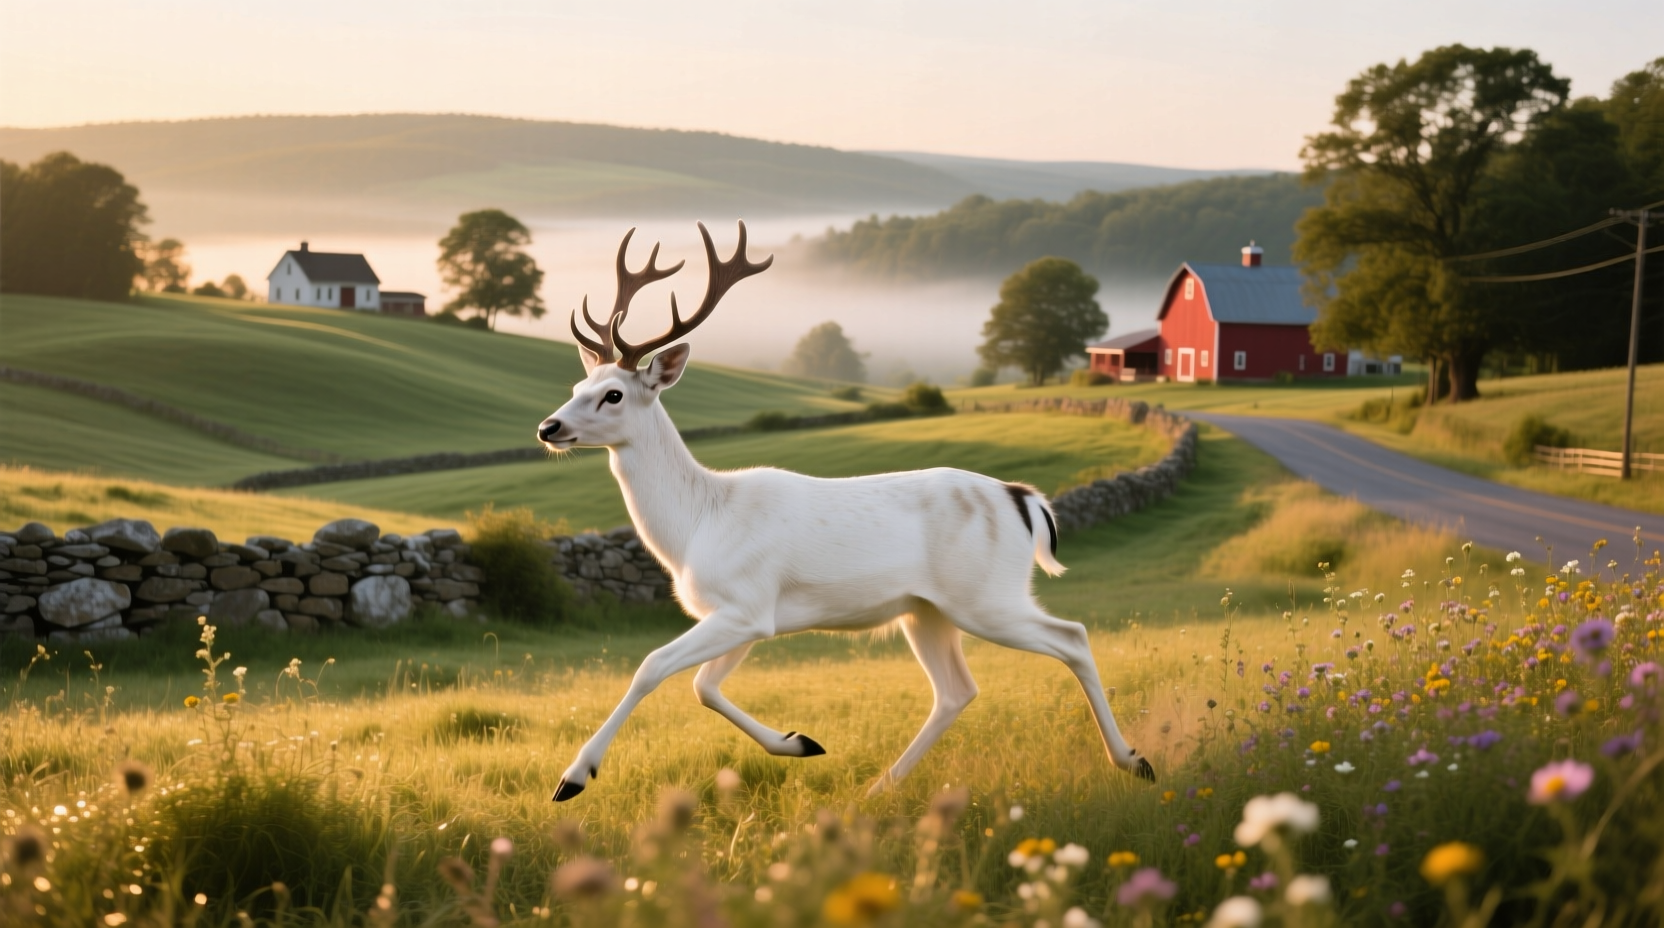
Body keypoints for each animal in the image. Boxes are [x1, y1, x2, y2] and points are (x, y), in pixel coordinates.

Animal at [536, 221, 1156, 802]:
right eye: (578, 383)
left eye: (613, 394)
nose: (548, 427)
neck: (697, 525)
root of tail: (1023, 499)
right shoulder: (746, 615)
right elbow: (704, 688)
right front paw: (800, 742)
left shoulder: (745, 604)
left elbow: (653, 668)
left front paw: (574, 777)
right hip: (927, 611)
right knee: (957, 689)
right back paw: (880, 787)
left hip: (986, 596)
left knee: (1071, 636)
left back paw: (1132, 760)